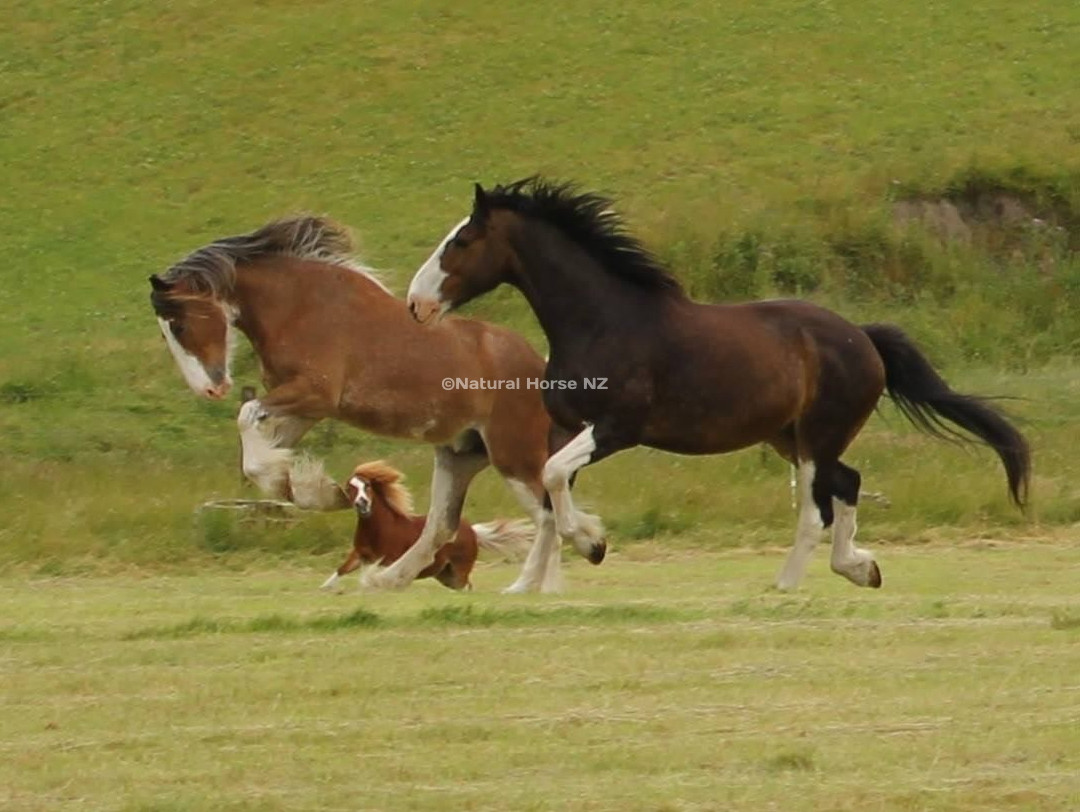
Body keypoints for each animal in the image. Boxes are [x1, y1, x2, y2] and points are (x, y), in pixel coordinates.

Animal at [320, 460, 534, 591]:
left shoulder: (386, 560)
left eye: (368, 486)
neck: (380, 529)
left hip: (458, 572)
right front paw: (324, 588)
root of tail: (472, 531)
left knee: (466, 586)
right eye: (349, 488)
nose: (362, 503)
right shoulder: (360, 555)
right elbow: (342, 569)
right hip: (444, 574)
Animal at [405, 178, 1032, 590]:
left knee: (816, 507)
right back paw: (859, 569)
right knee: (847, 485)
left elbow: (554, 480)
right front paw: (546, 572)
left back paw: (786, 587)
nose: (416, 305)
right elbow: (549, 492)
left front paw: (593, 543)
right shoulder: (565, 426)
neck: (603, 321)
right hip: (789, 437)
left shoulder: (616, 429)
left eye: (460, 242)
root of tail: (863, 337)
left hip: (816, 437)